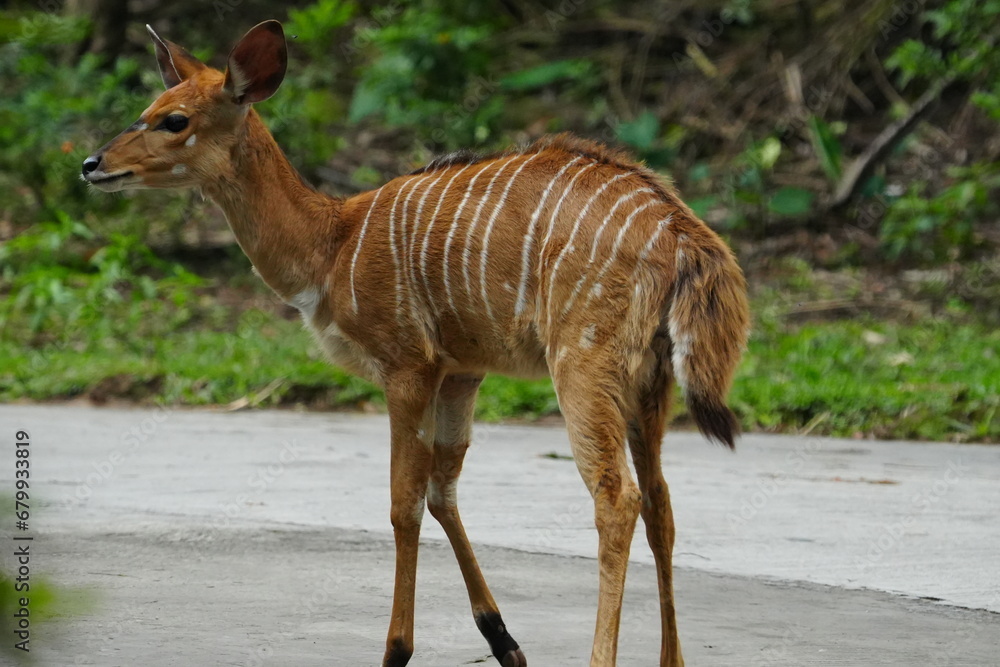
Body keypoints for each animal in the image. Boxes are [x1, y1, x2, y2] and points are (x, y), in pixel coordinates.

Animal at [83, 20, 750, 667]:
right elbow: (441, 490)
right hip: (650, 382)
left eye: (175, 119)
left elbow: (402, 503)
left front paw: (396, 651)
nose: (92, 163)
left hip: (584, 364)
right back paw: (670, 660)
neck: (331, 244)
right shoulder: (461, 371)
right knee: (660, 501)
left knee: (617, 498)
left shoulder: (406, 365)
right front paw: (503, 641)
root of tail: (682, 235)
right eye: (148, 106)